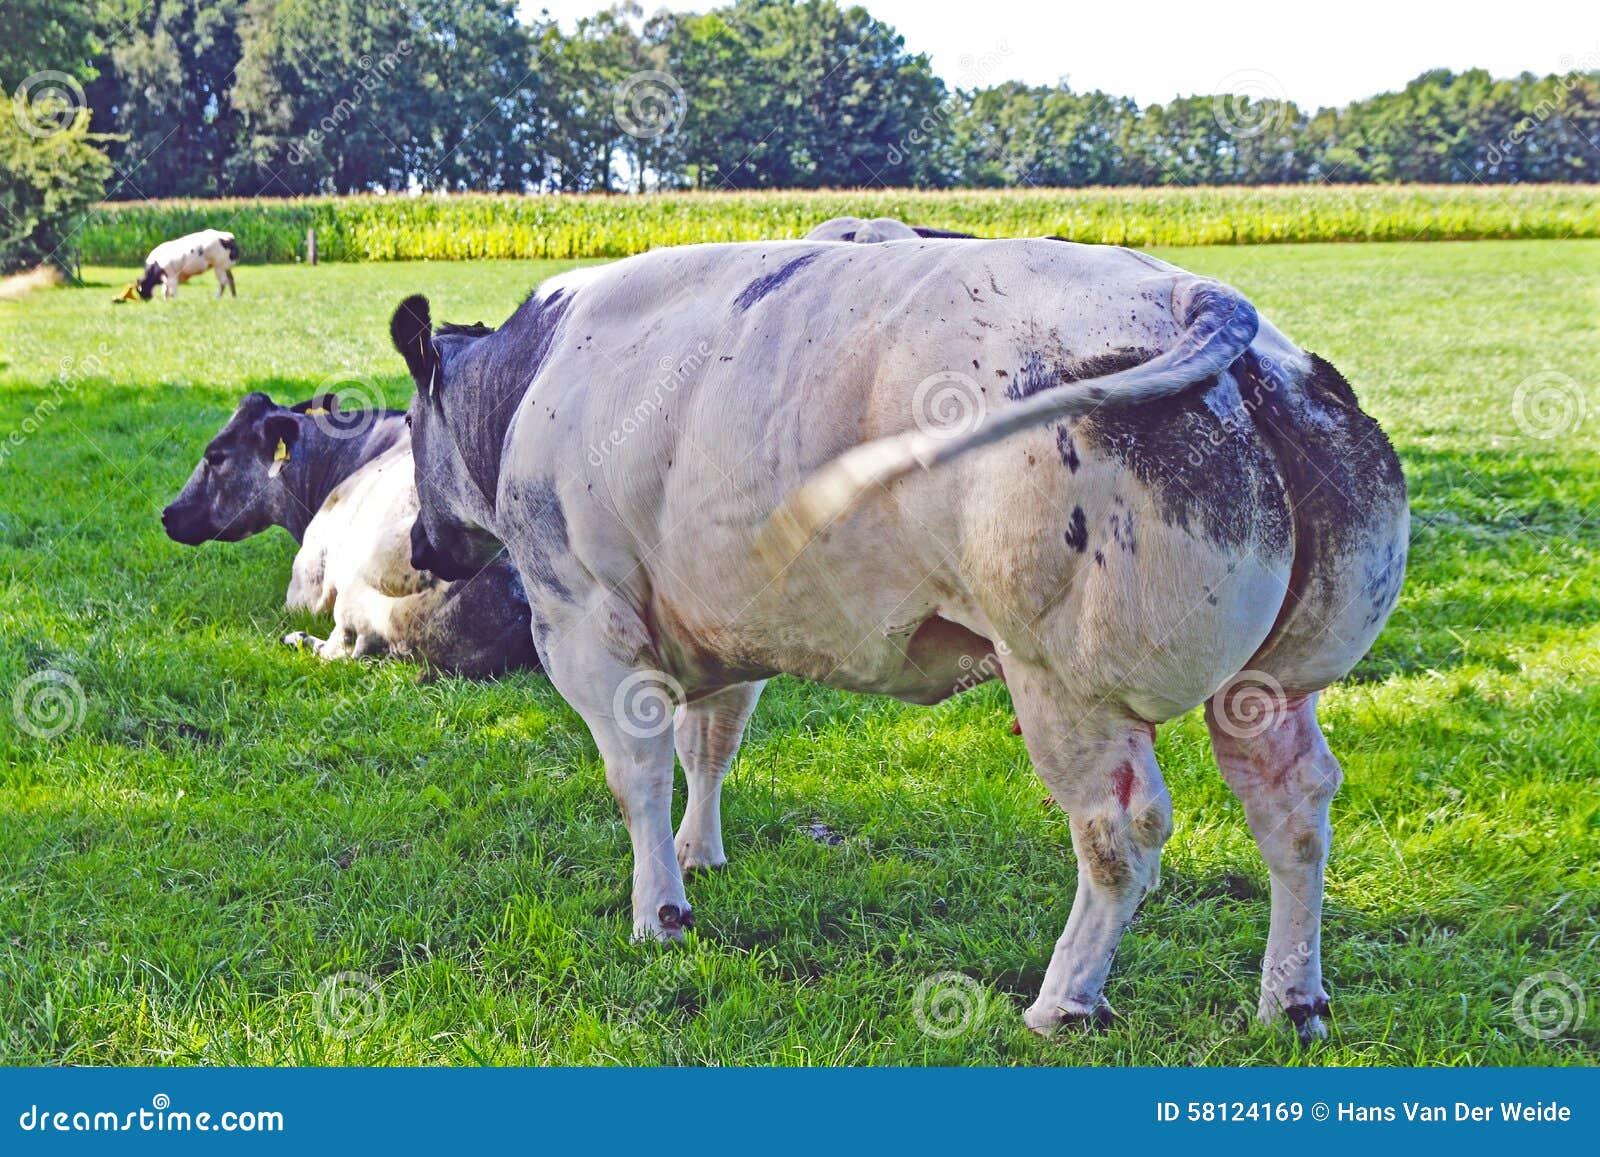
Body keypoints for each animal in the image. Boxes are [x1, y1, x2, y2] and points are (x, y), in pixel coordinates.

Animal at [161, 392, 538, 678]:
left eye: (215, 456)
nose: (168, 514)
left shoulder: (306, 586)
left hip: (359, 596)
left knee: (342, 650)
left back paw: (298, 640)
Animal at [392, 236, 1408, 1039]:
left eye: (406, 424)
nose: (418, 545)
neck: (529, 386)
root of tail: (1192, 291)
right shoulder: (723, 621)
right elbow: (708, 743)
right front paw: (700, 852)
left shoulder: (583, 619)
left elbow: (635, 774)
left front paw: (660, 911)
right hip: (1277, 681)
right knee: (1295, 807)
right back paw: (1293, 1001)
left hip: (1065, 681)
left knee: (1120, 831)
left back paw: (1064, 1001)